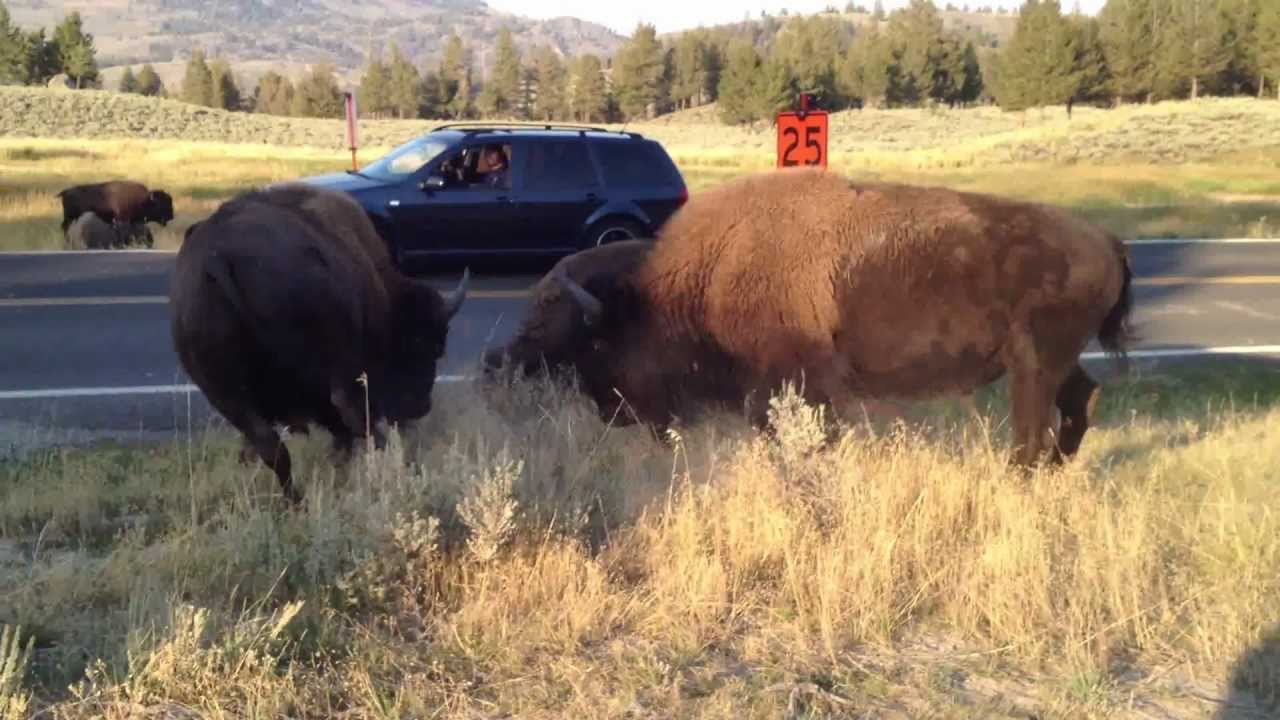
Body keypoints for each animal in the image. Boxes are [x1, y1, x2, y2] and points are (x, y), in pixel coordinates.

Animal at [170, 183, 469, 504]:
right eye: (428, 347)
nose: (420, 406)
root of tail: (217, 255)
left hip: (225, 392)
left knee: (270, 445)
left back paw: (295, 500)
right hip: (331, 372)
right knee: (346, 412)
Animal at [482, 169, 1135, 468]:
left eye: (595, 342)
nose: (494, 362)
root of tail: (1106, 238)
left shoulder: (796, 385)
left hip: (1033, 365)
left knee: (1034, 427)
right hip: (1051, 360)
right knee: (1080, 398)